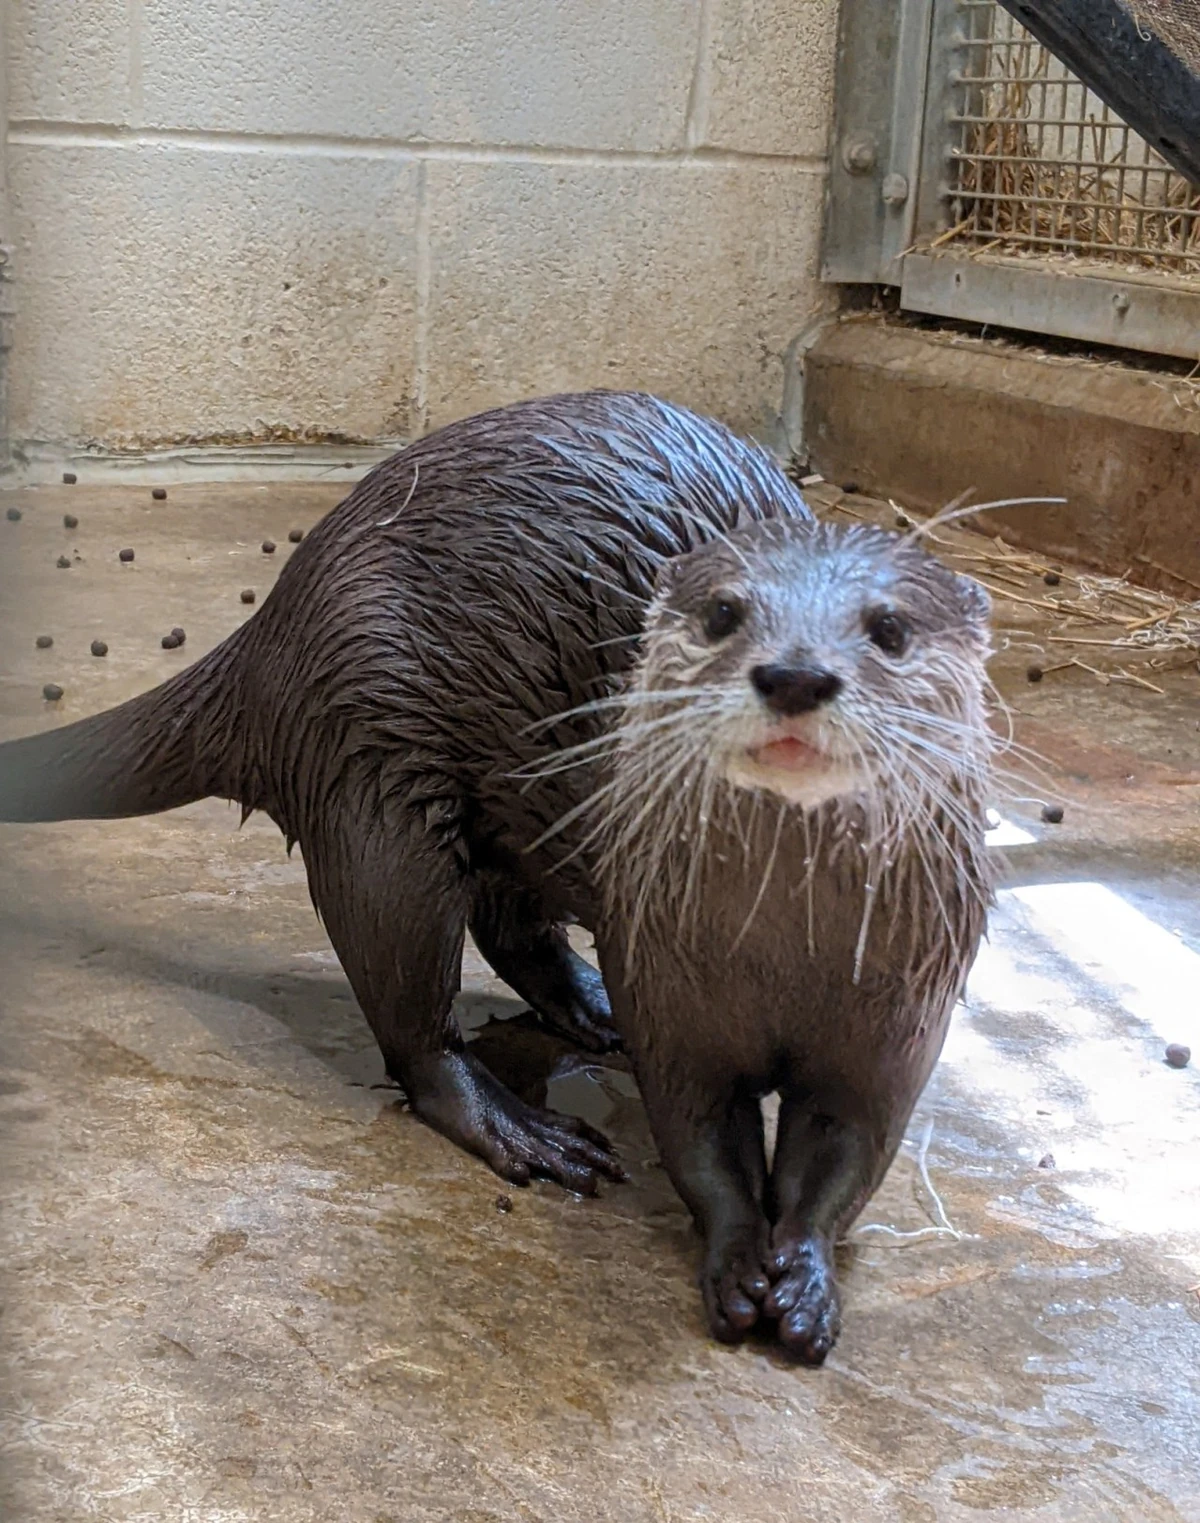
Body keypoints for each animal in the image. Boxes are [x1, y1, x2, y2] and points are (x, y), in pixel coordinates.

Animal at [0, 391, 993, 1360]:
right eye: (722, 614)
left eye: (891, 630)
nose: (793, 674)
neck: (785, 952)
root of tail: (271, 632)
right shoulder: (670, 983)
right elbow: (699, 1134)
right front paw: (740, 1256)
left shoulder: (901, 1010)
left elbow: (848, 1149)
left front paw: (805, 1279)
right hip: (372, 771)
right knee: (413, 1010)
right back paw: (524, 1125)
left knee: (510, 928)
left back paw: (591, 1011)